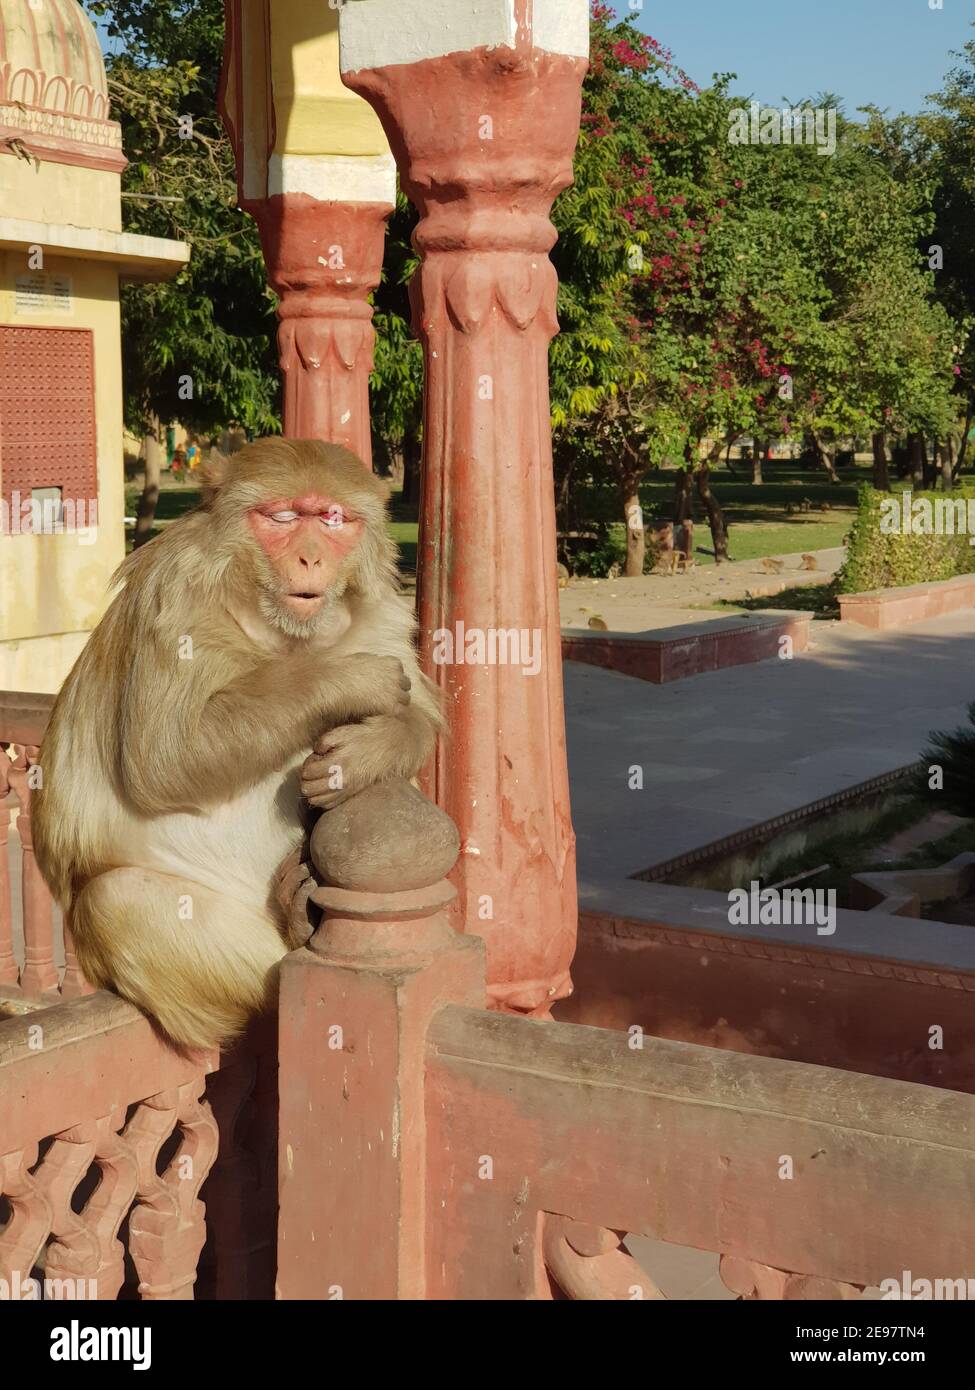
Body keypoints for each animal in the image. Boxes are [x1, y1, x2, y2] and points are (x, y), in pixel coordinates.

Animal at [33, 439, 442, 1051]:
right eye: (282, 518)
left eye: (332, 519)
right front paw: (347, 680)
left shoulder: (384, 610)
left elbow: (420, 716)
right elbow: (164, 758)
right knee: (117, 900)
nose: (311, 558)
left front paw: (366, 753)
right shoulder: (176, 591)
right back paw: (295, 931)